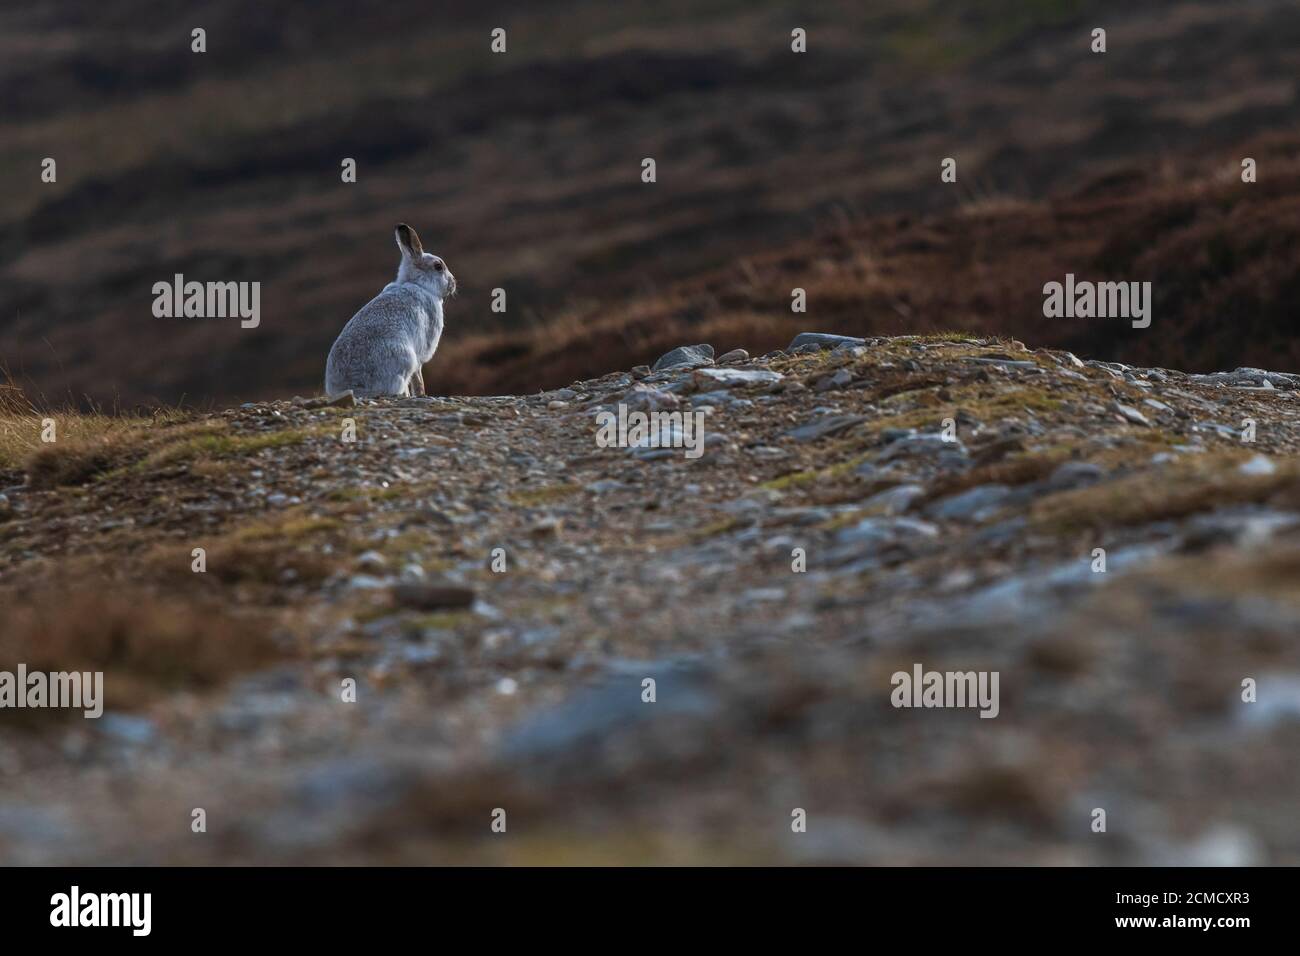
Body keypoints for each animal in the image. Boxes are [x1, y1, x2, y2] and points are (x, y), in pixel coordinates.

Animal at [325, 223, 456, 398]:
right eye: (438, 267)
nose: (453, 282)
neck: (419, 284)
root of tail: (354, 387)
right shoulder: (421, 352)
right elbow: (418, 377)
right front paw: (421, 394)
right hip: (405, 359)